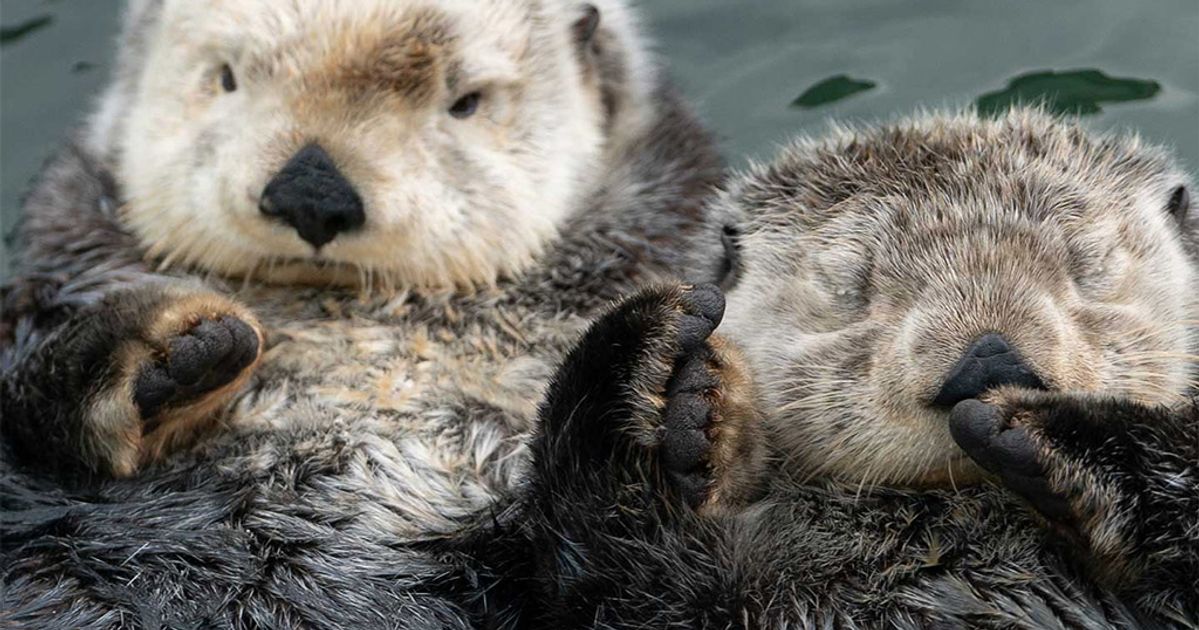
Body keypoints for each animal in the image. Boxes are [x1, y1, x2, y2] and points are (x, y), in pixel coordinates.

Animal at [440, 109, 1197, 627]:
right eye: (847, 291)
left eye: (1090, 265)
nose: (987, 360)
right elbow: (613, 585)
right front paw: (674, 386)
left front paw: (1058, 434)